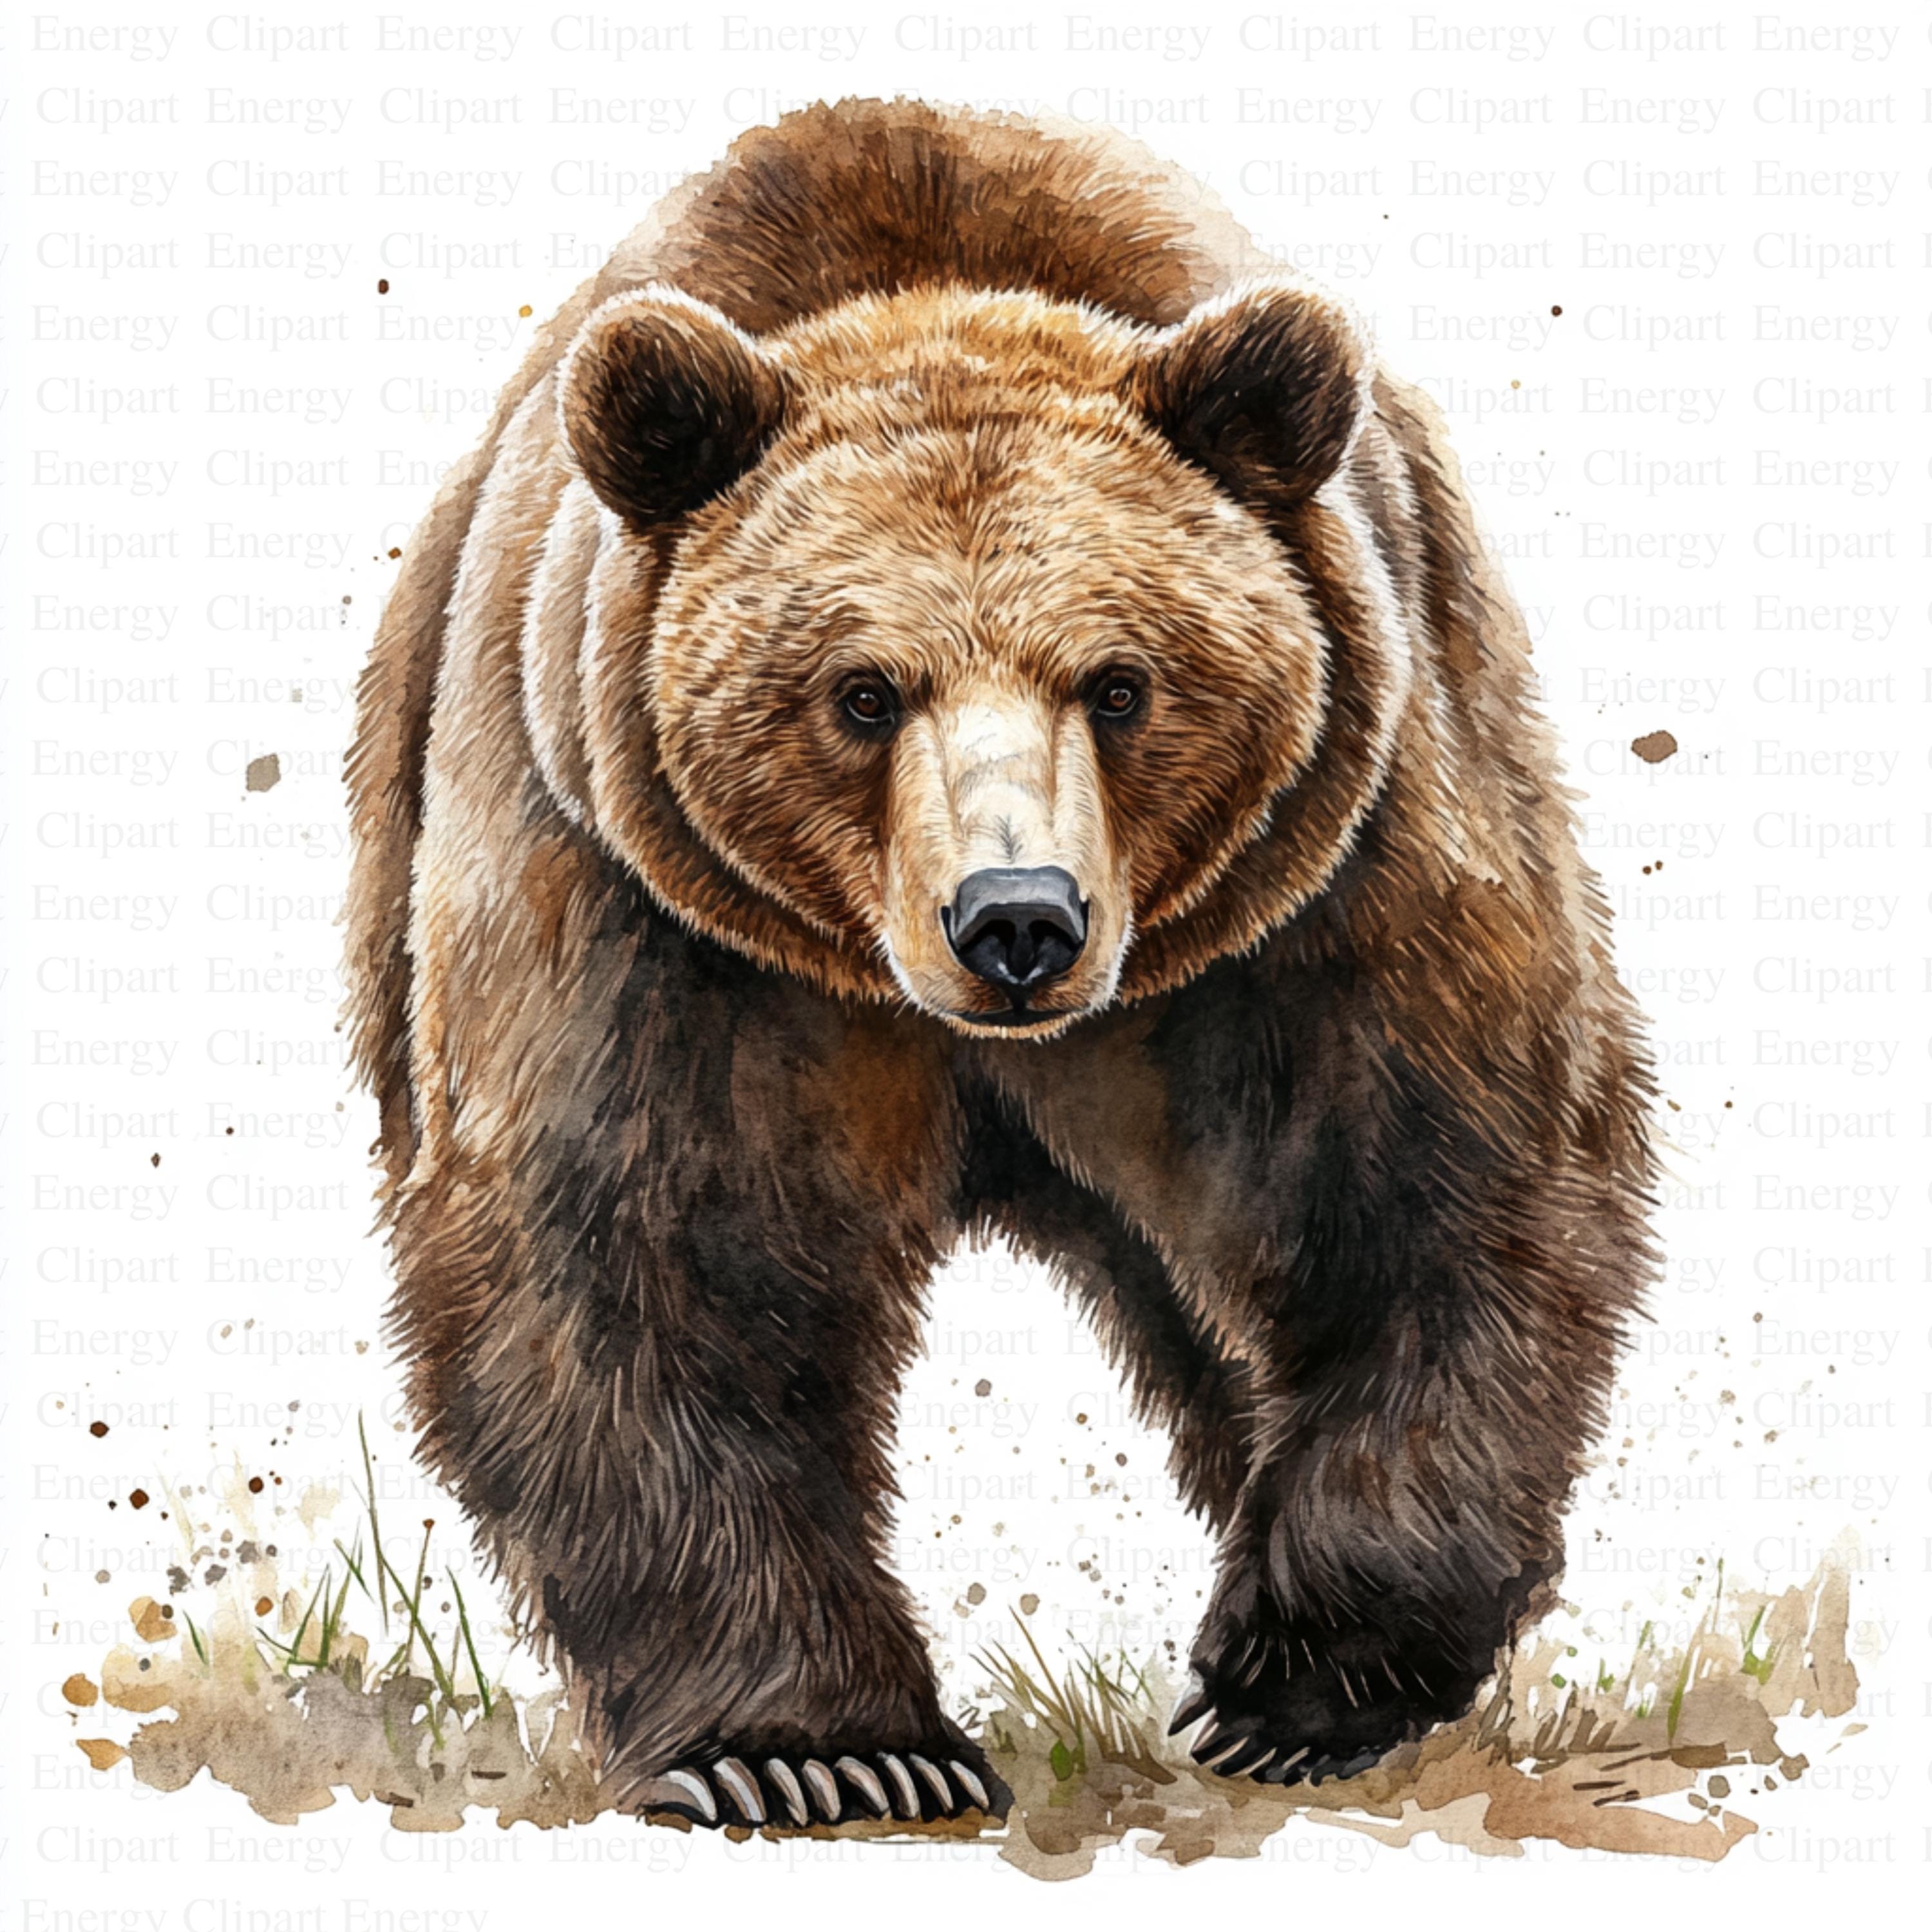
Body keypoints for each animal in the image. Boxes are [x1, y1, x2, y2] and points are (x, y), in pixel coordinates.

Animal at [345, 98, 1655, 1828]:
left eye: (1122, 681)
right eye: (857, 691)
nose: (1018, 918)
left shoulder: (1334, 868)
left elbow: (1421, 1176)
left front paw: (1294, 1686)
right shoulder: (646, 911)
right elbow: (637, 1242)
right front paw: (824, 1745)